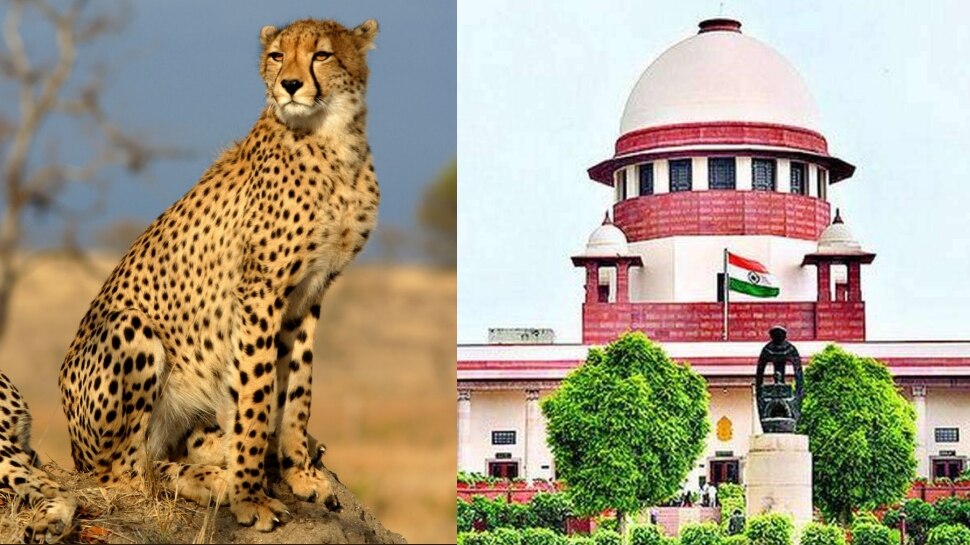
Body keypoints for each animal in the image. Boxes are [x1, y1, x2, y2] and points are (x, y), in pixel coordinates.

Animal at [57, 17, 380, 532]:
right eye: (276, 55)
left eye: (322, 55)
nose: (290, 85)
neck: (333, 140)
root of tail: (73, 450)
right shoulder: (260, 291)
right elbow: (257, 392)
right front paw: (251, 497)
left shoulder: (309, 293)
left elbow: (298, 389)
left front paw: (300, 472)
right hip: (131, 329)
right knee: (130, 475)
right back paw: (217, 479)